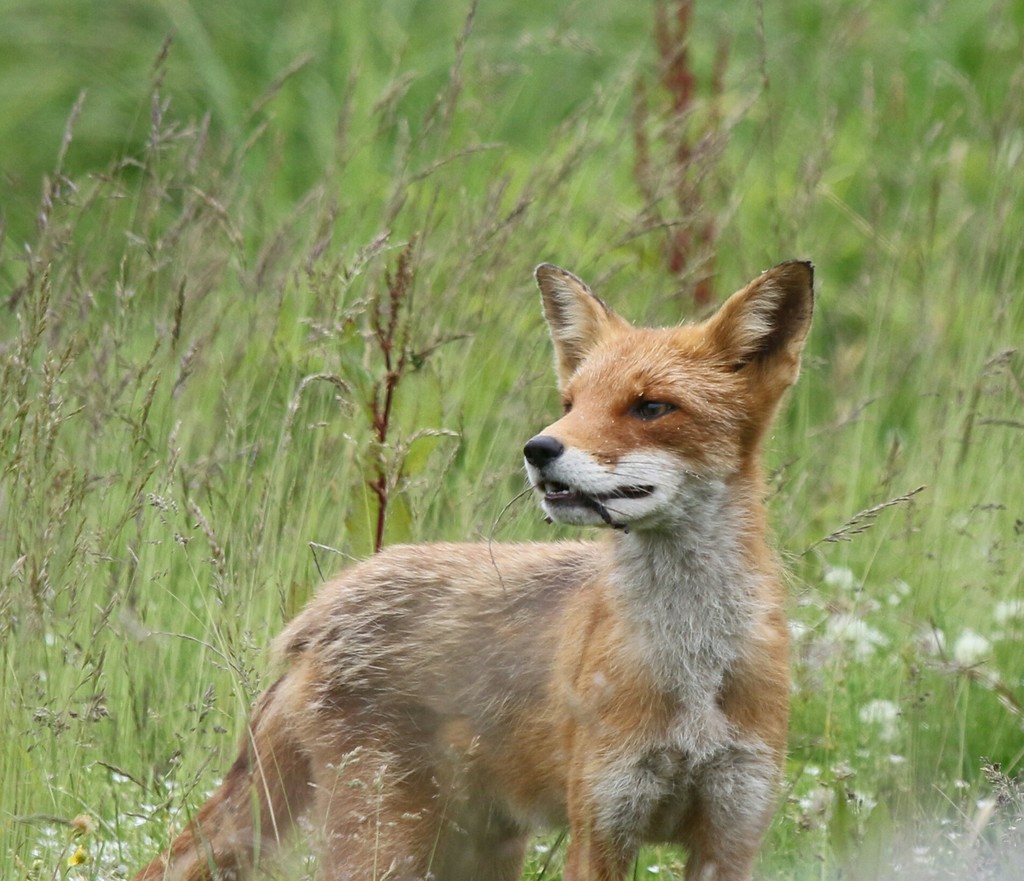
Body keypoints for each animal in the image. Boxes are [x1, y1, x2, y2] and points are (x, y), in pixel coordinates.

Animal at [134, 259, 814, 881]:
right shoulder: (601, 824)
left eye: (651, 407)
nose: (539, 448)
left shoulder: (731, 829)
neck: (694, 674)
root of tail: (320, 613)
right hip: (385, 845)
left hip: (477, 847)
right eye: (570, 404)